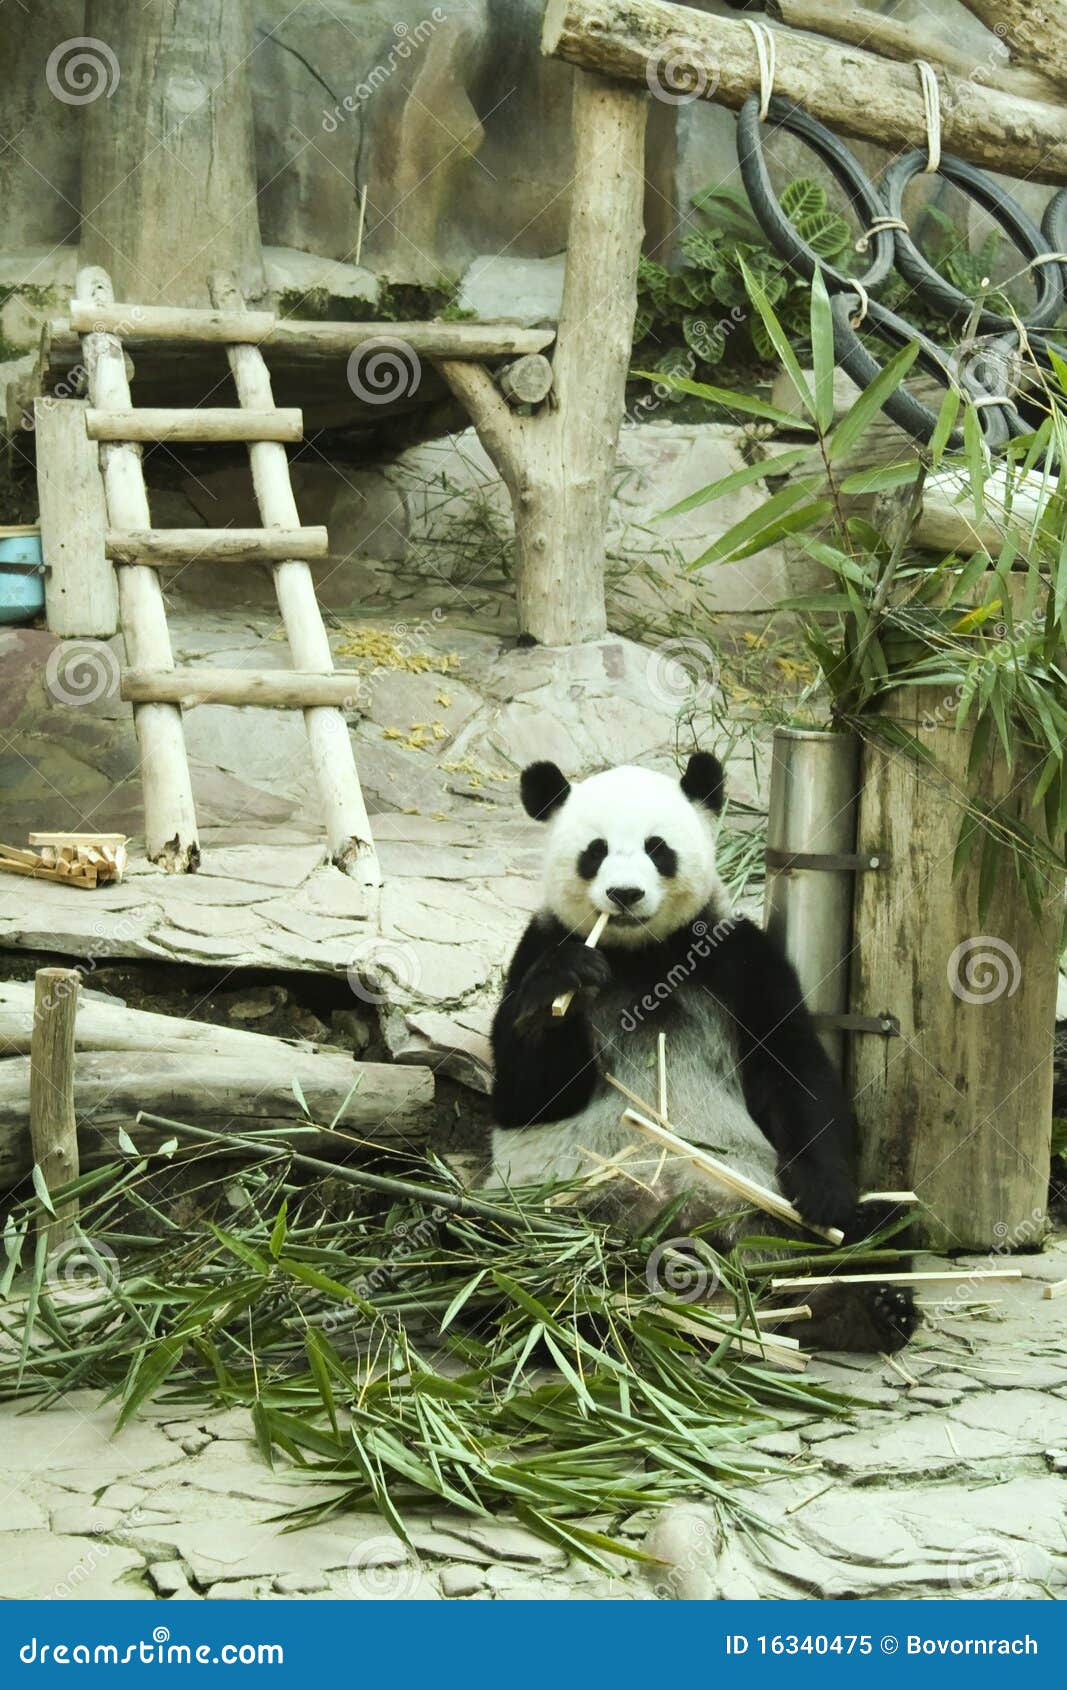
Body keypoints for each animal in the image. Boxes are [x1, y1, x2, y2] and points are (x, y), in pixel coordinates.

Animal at [489, 751, 918, 1354]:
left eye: (657, 848)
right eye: (594, 851)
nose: (624, 895)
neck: (641, 954)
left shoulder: (736, 957)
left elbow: (794, 1069)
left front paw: (824, 1194)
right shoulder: (538, 945)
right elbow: (525, 1096)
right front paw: (566, 984)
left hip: (760, 1208)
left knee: (881, 1229)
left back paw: (862, 1308)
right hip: (550, 1201)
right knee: (485, 1240)